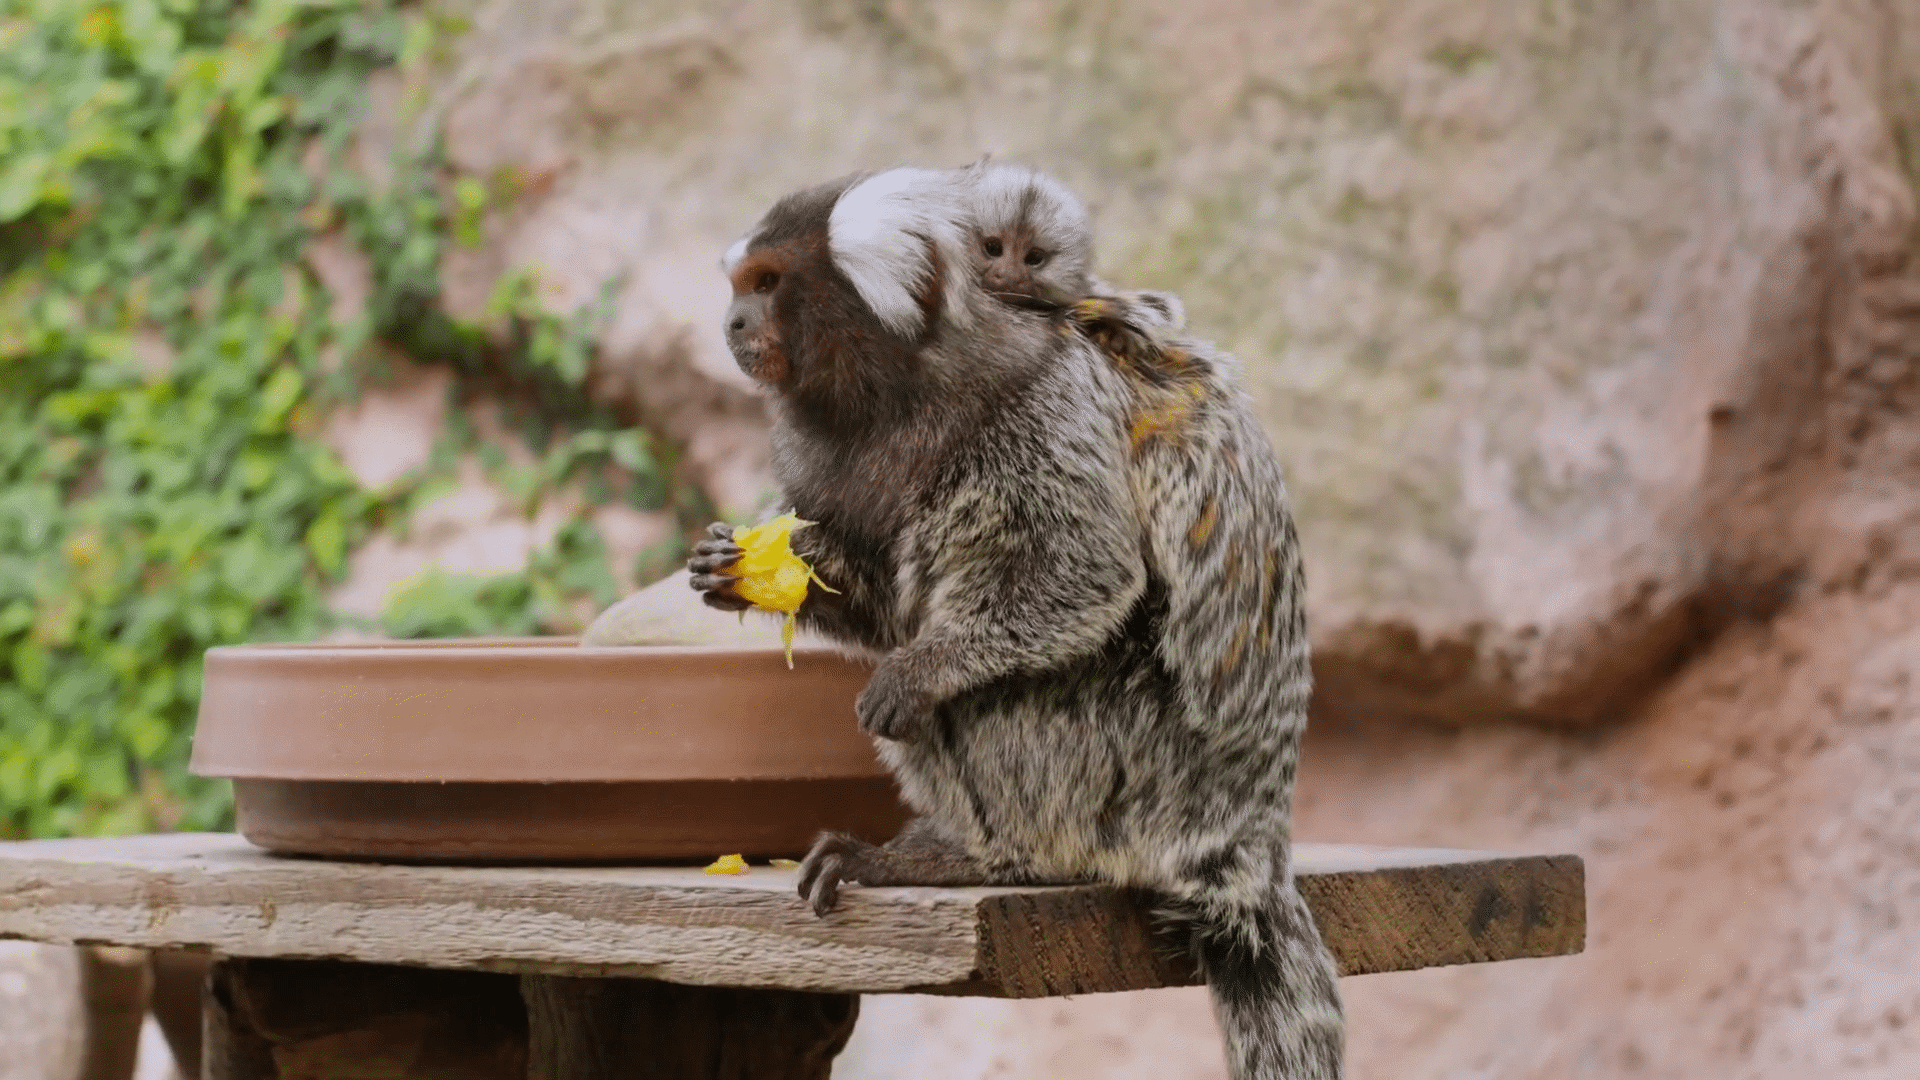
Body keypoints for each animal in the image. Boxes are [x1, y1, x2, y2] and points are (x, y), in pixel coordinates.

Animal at [690, 168, 1345, 1080]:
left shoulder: (1038, 405)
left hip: (1139, 776)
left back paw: (979, 857)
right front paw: (732, 572)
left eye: (767, 283)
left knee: (971, 700)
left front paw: (921, 670)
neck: (897, 389)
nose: (733, 322)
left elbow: (1079, 571)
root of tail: (1248, 830)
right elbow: (884, 603)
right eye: (739, 287)